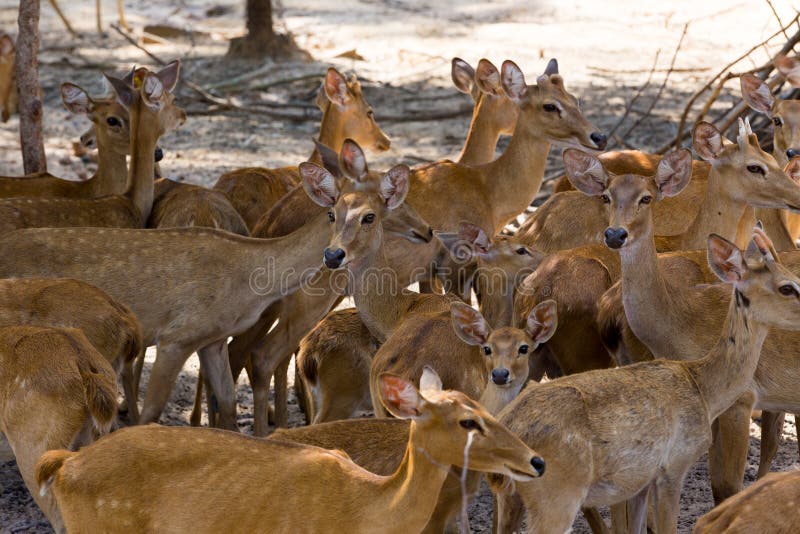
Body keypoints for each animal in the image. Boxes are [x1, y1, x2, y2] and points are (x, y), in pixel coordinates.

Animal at [225, 58, 604, 433]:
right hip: (309, 297)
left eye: (573, 98)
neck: (488, 188)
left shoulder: (429, 273)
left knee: (243, 350)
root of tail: (269, 224)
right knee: (265, 355)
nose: (597, 136)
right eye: (549, 105)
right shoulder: (458, 264)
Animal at [494, 228, 800, 534]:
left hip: (512, 494)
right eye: (787, 287)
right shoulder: (674, 466)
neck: (703, 387)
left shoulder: (643, 481)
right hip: (556, 497)